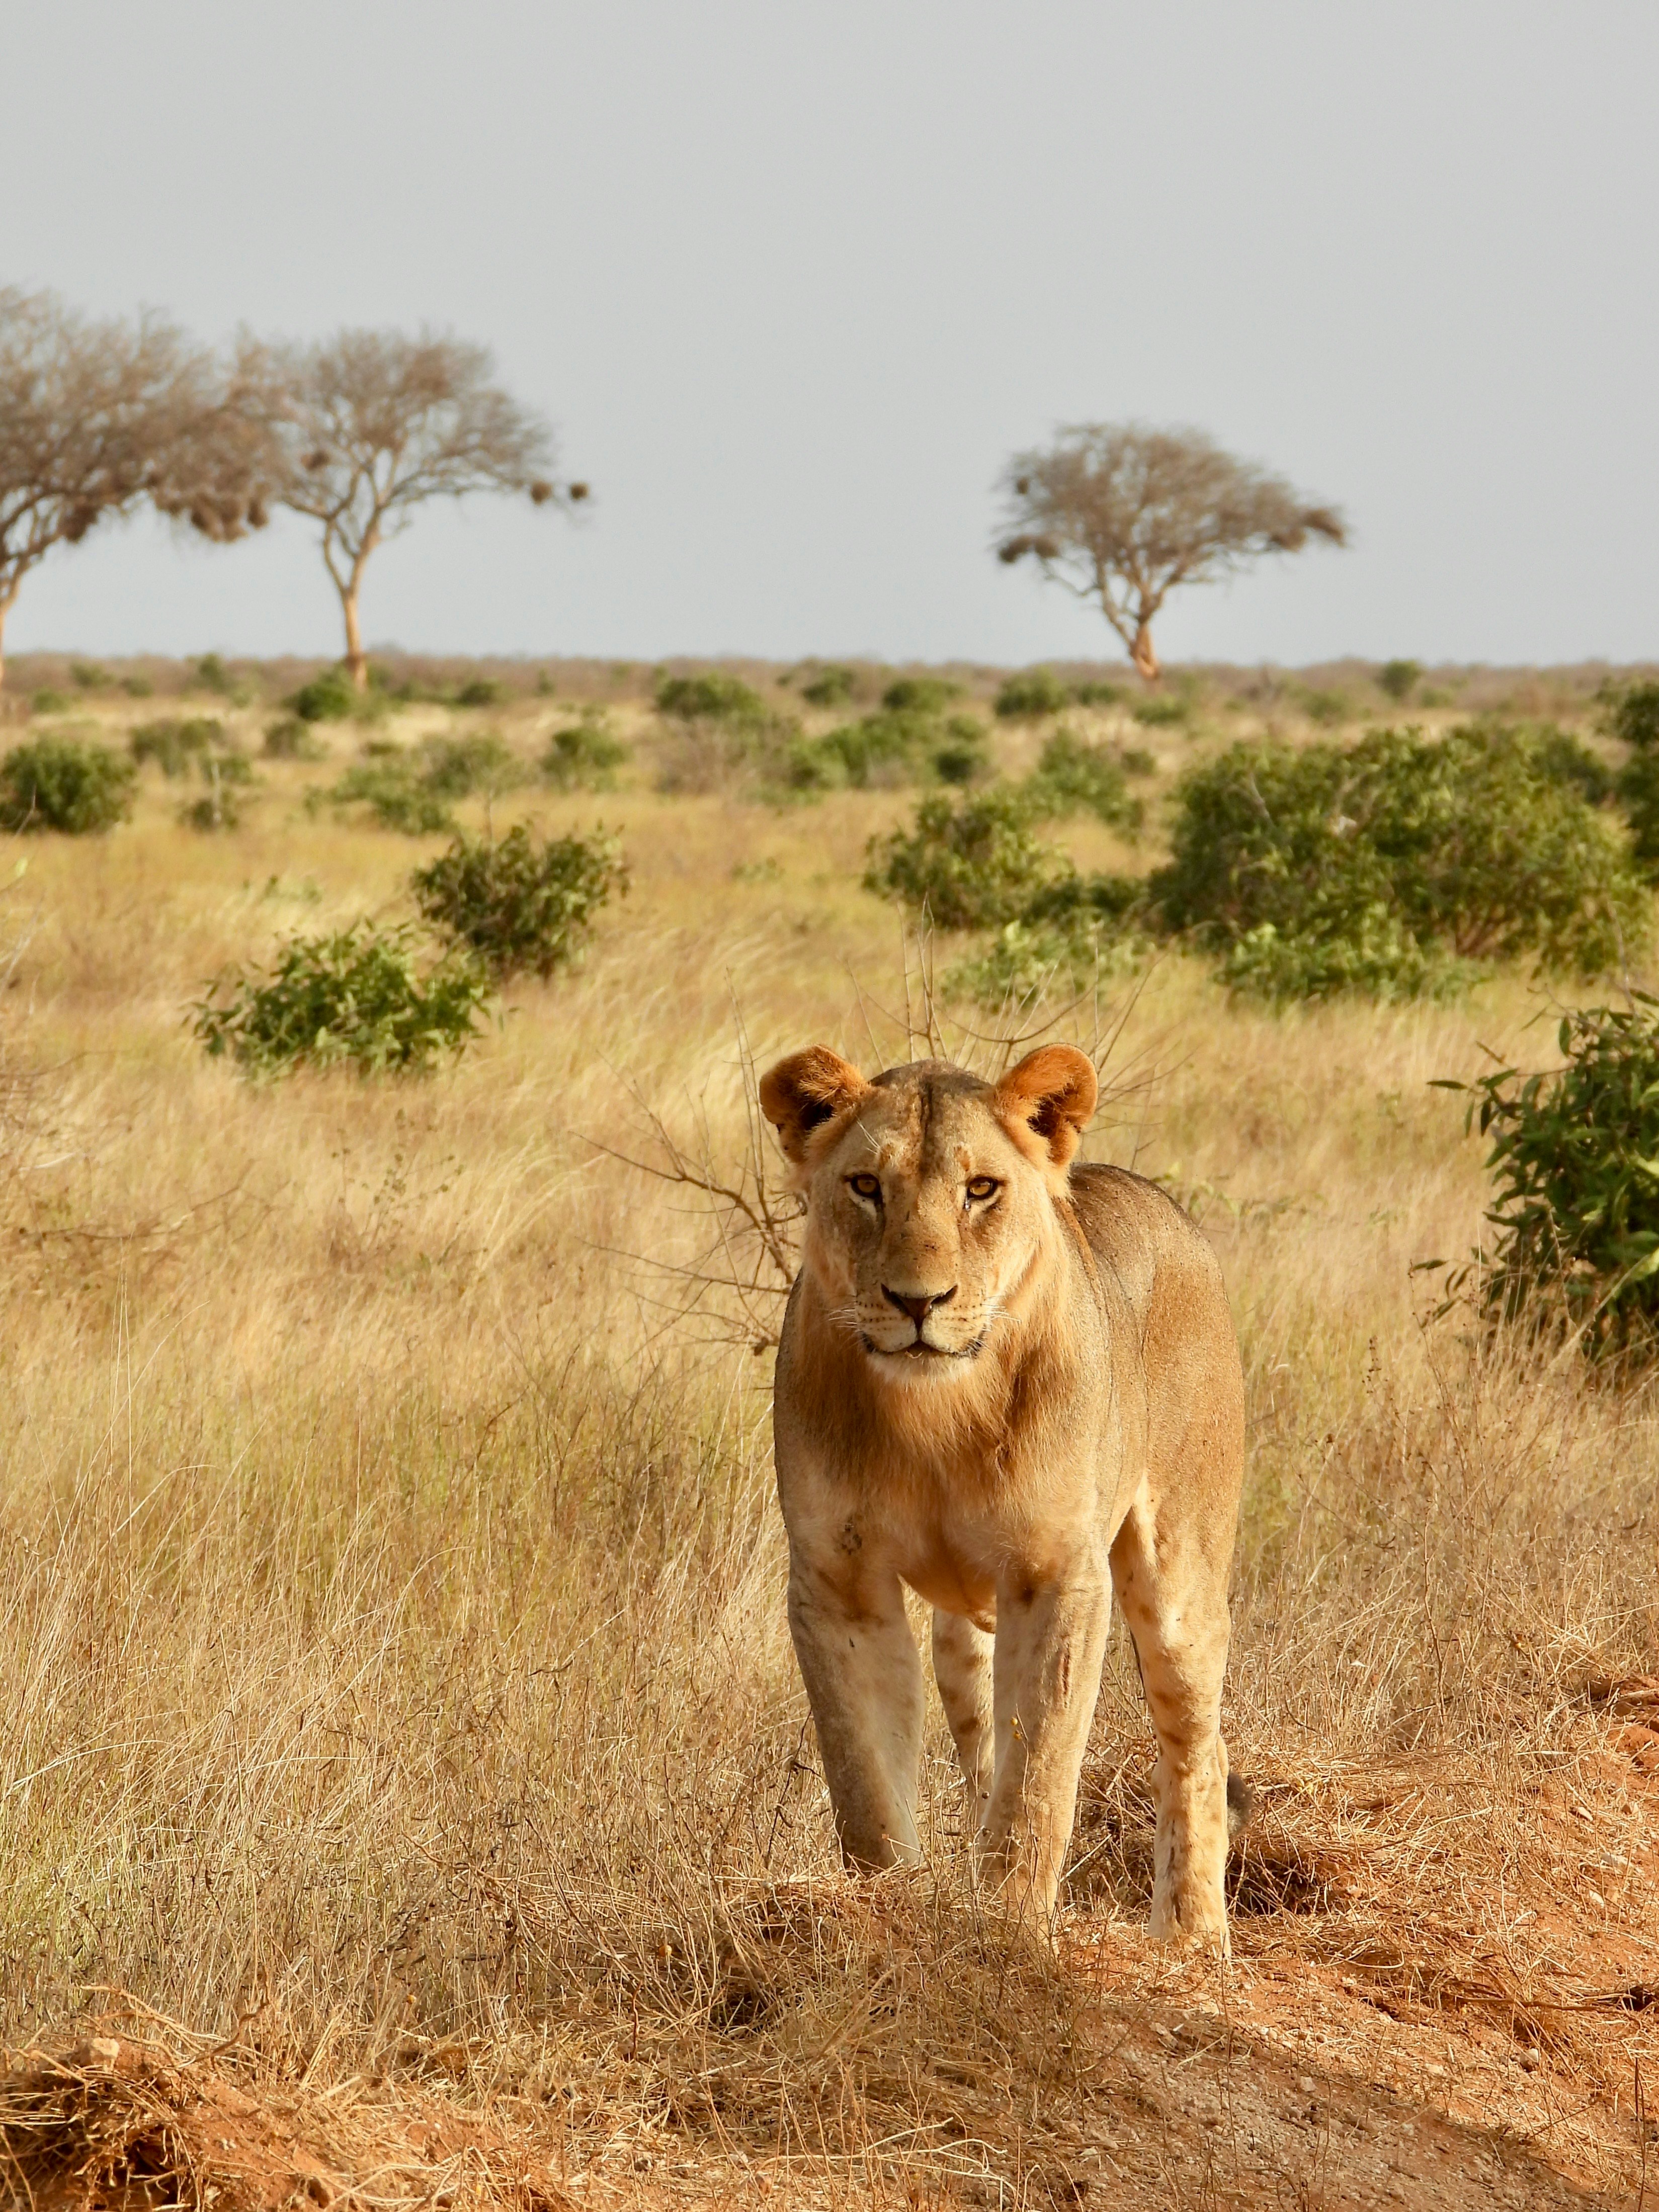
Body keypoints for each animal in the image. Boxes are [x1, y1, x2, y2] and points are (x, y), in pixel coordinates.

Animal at [758, 1042, 1247, 1943]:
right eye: (865, 1186)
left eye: (980, 1188)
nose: (917, 1301)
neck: (937, 1417)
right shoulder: (838, 1582)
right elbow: (865, 1781)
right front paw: (889, 1912)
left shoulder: (1055, 1574)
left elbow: (1038, 1778)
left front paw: (1012, 1931)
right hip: (963, 1643)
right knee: (981, 1741)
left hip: (1179, 1581)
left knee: (1199, 1747)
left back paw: (1192, 1940)